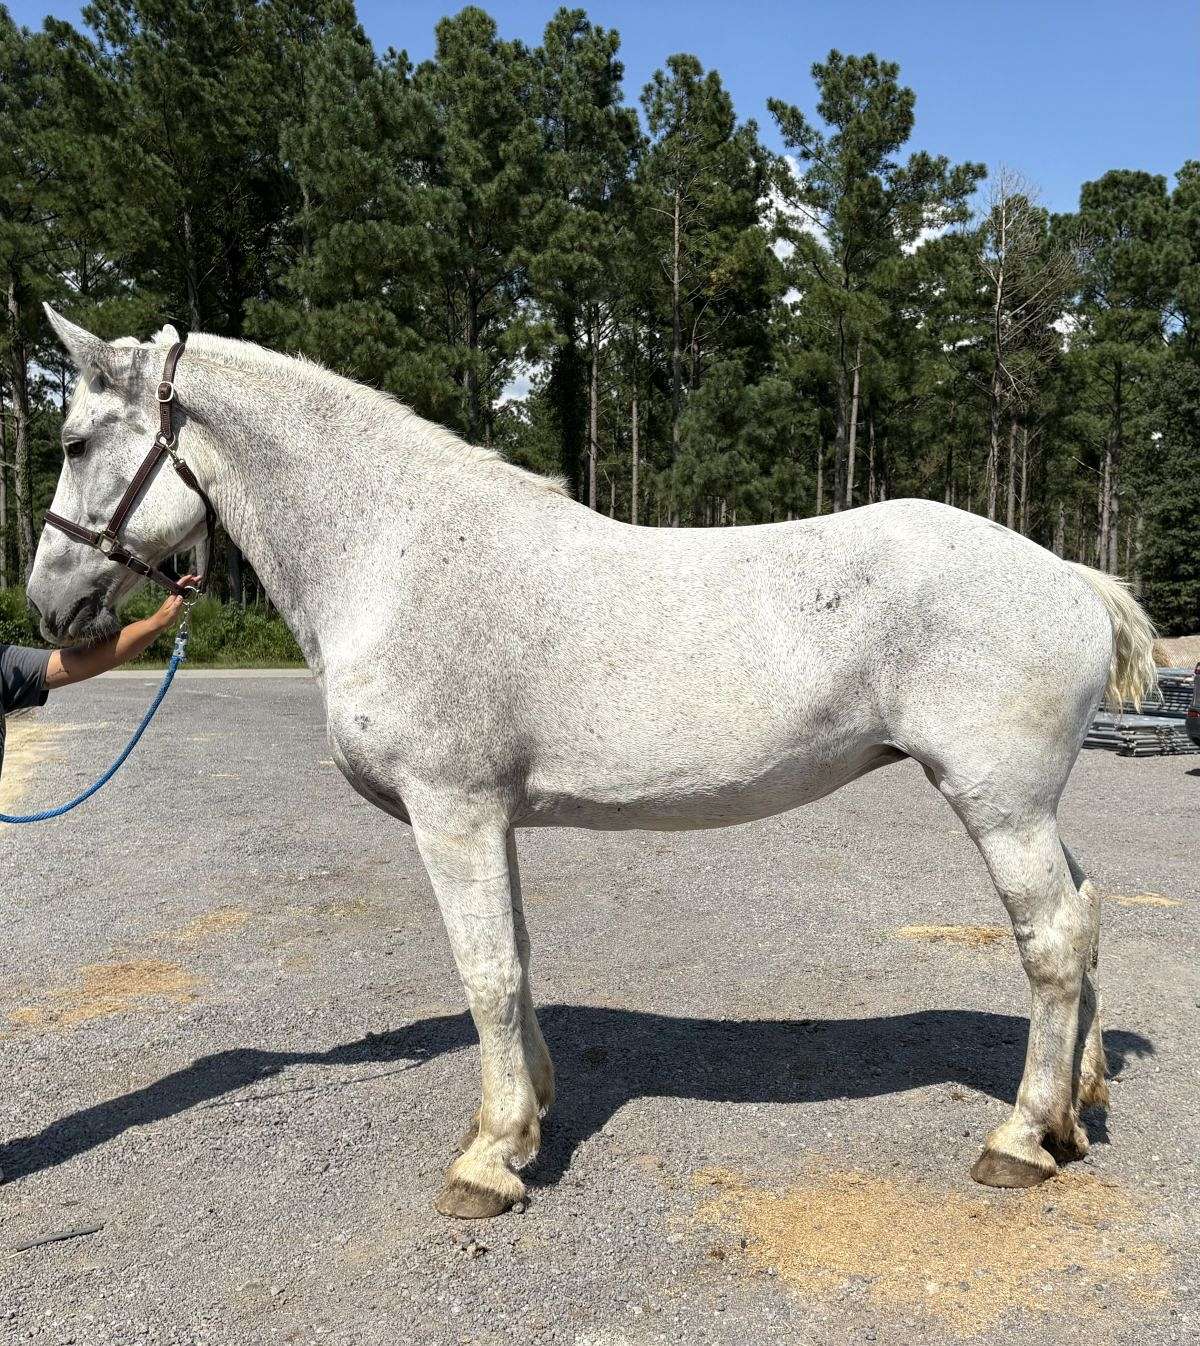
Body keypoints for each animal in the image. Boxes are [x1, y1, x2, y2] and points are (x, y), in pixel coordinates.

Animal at [26, 307, 1156, 1220]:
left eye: (76, 440)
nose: (47, 606)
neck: (400, 556)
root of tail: (1069, 575)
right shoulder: (491, 819)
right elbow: (517, 960)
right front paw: (526, 1119)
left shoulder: (452, 812)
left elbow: (484, 969)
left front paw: (486, 1161)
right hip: (1028, 806)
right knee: (1088, 913)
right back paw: (1075, 1112)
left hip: (998, 804)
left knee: (1053, 940)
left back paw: (1019, 1138)